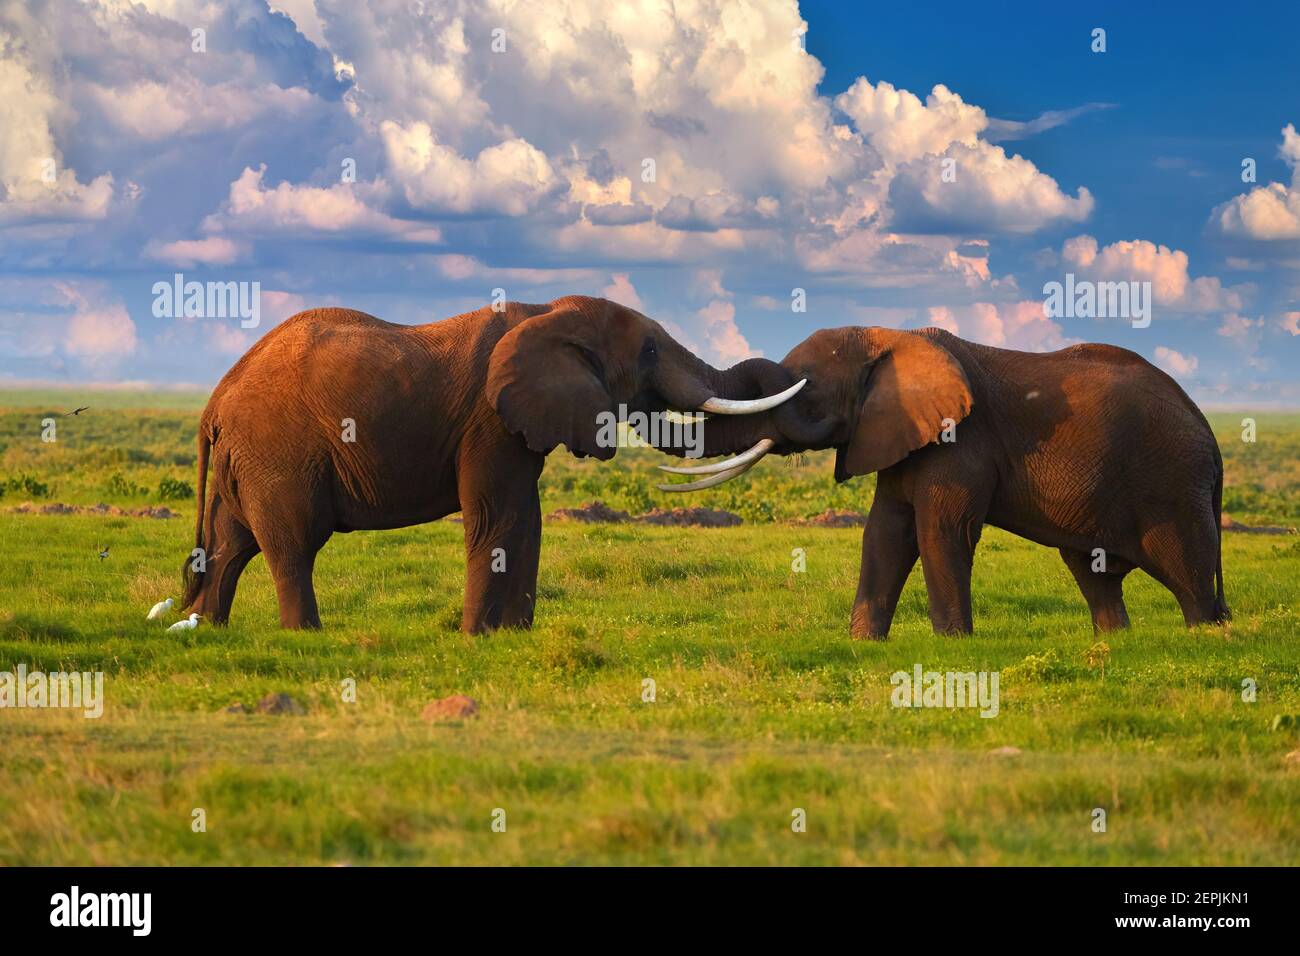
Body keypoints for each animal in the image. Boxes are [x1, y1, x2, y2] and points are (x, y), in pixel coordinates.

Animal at [179, 295, 815, 632]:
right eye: (651, 350)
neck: (546, 312)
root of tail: (215, 398)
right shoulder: (487, 420)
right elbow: (499, 516)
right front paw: (480, 637)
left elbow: (525, 520)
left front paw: (513, 634)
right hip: (277, 453)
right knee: (292, 543)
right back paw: (307, 636)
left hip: (248, 458)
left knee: (230, 543)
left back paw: (207, 628)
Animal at [654, 326, 1230, 638]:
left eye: (806, 389)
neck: (892, 337)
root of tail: (1209, 431)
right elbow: (884, 533)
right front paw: (864, 644)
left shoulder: (960, 438)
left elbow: (941, 530)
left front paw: (953, 644)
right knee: (1095, 573)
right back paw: (1115, 641)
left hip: (1172, 482)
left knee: (1188, 568)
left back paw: (1209, 636)